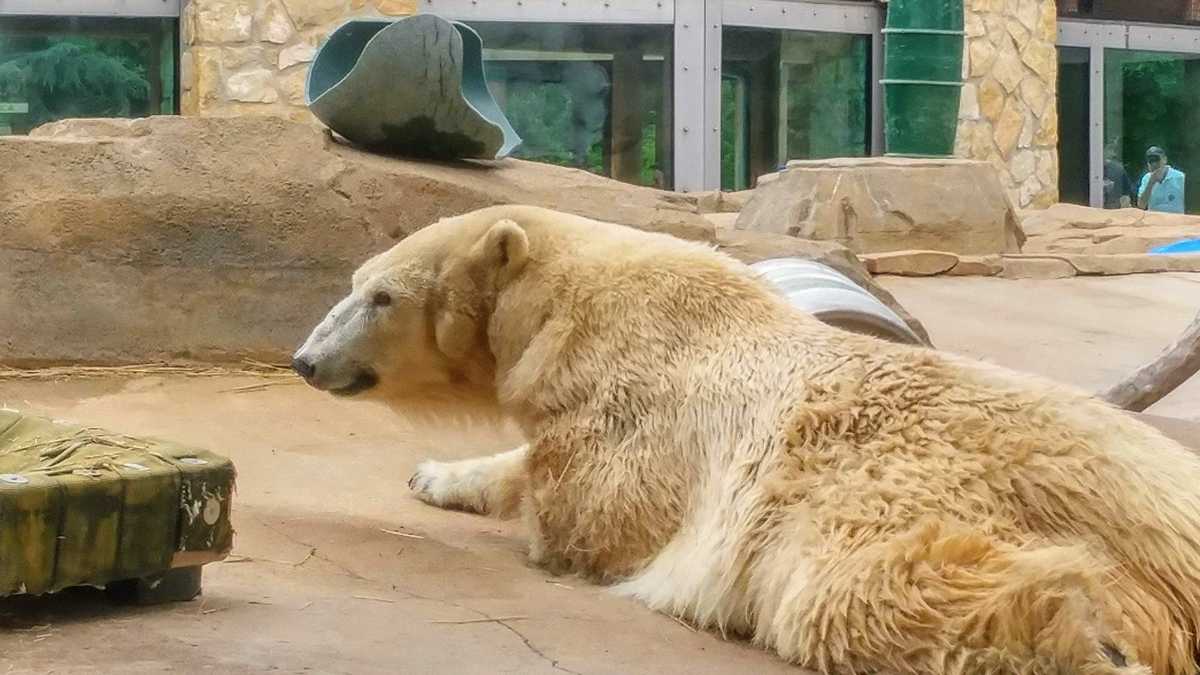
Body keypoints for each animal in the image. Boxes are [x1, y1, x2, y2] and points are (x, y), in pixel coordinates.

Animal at [293, 204, 1200, 674]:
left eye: (379, 296)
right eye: (355, 283)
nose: (304, 359)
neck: (574, 308)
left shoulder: (637, 407)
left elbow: (591, 510)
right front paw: (436, 473)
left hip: (899, 499)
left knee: (865, 593)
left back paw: (1089, 637)